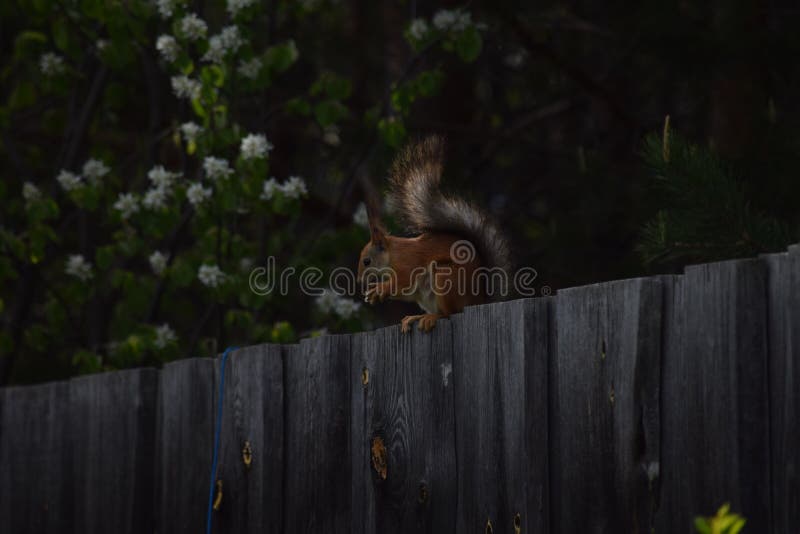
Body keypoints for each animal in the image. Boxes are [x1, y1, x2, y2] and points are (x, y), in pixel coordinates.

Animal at [357, 135, 511, 333]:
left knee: (450, 313)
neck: (393, 254)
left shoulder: (408, 263)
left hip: (446, 279)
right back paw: (415, 317)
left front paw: (379, 289)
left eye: (367, 261)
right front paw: (378, 294)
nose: (360, 280)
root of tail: (478, 301)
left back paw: (432, 317)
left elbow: (403, 280)